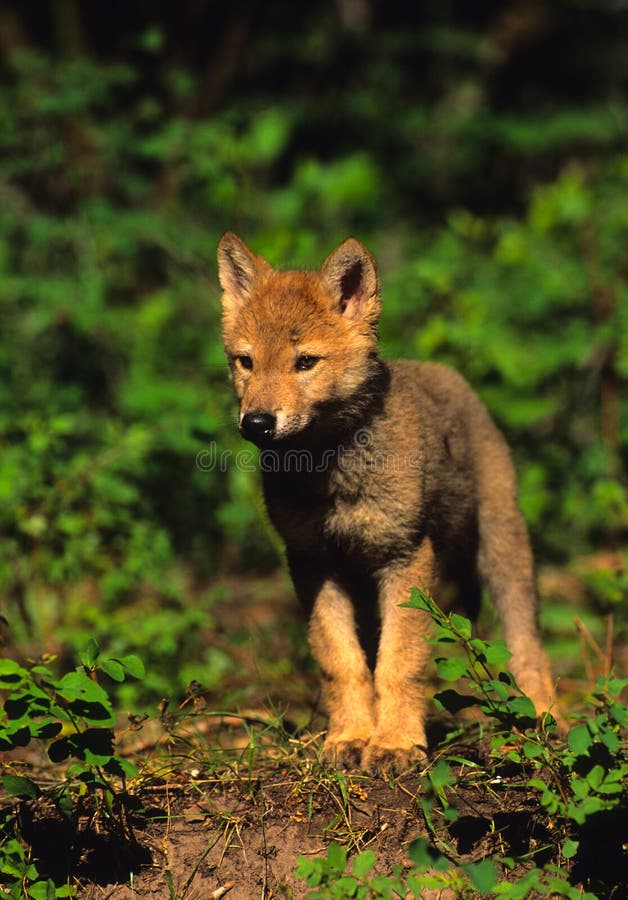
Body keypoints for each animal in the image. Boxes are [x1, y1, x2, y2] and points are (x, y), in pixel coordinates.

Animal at [217, 232, 560, 773]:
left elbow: (400, 663)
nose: (257, 423)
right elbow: (344, 664)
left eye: (305, 362)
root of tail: (455, 378)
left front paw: (396, 743)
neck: (330, 472)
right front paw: (351, 737)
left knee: (528, 648)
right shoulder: (314, 564)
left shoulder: (405, 558)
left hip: (504, 554)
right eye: (245, 362)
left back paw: (540, 730)